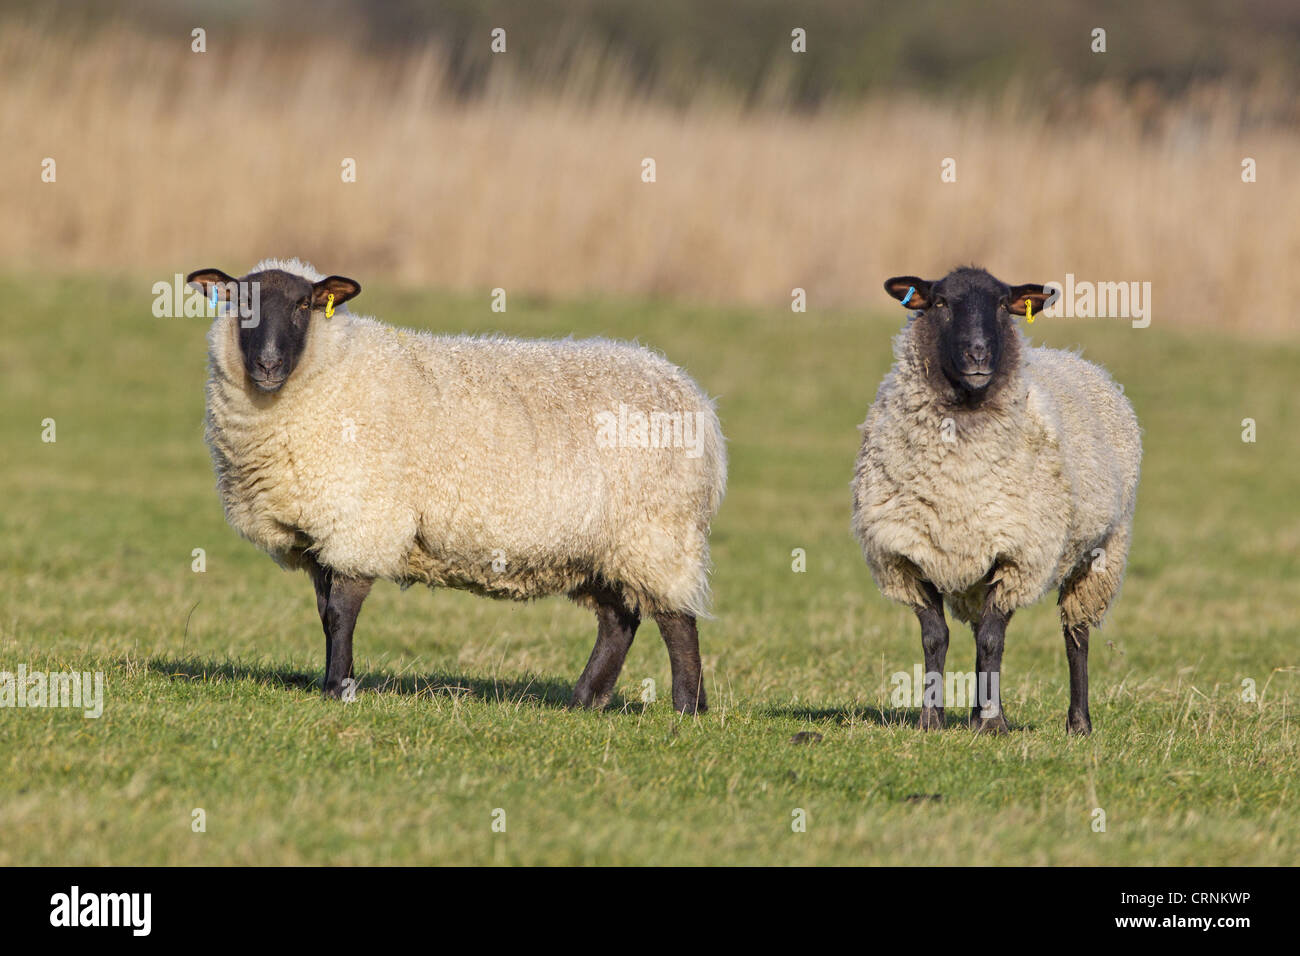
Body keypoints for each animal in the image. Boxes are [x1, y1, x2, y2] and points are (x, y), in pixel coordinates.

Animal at [186, 258, 725, 713]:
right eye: (240, 303)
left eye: (304, 305)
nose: (268, 365)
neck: (330, 372)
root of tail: (689, 391)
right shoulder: (323, 529)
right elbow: (324, 613)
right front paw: (335, 682)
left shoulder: (362, 520)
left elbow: (341, 612)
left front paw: (339, 689)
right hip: (601, 545)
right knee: (620, 620)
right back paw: (585, 701)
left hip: (658, 531)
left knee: (677, 621)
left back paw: (687, 707)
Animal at [851, 267, 1141, 735]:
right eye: (939, 302)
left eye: (1003, 305)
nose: (978, 354)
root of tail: (1079, 360)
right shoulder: (908, 555)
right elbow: (936, 638)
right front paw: (932, 719)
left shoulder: (1017, 556)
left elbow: (993, 640)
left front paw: (992, 725)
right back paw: (975, 714)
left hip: (1101, 553)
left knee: (1075, 634)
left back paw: (1078, 723)